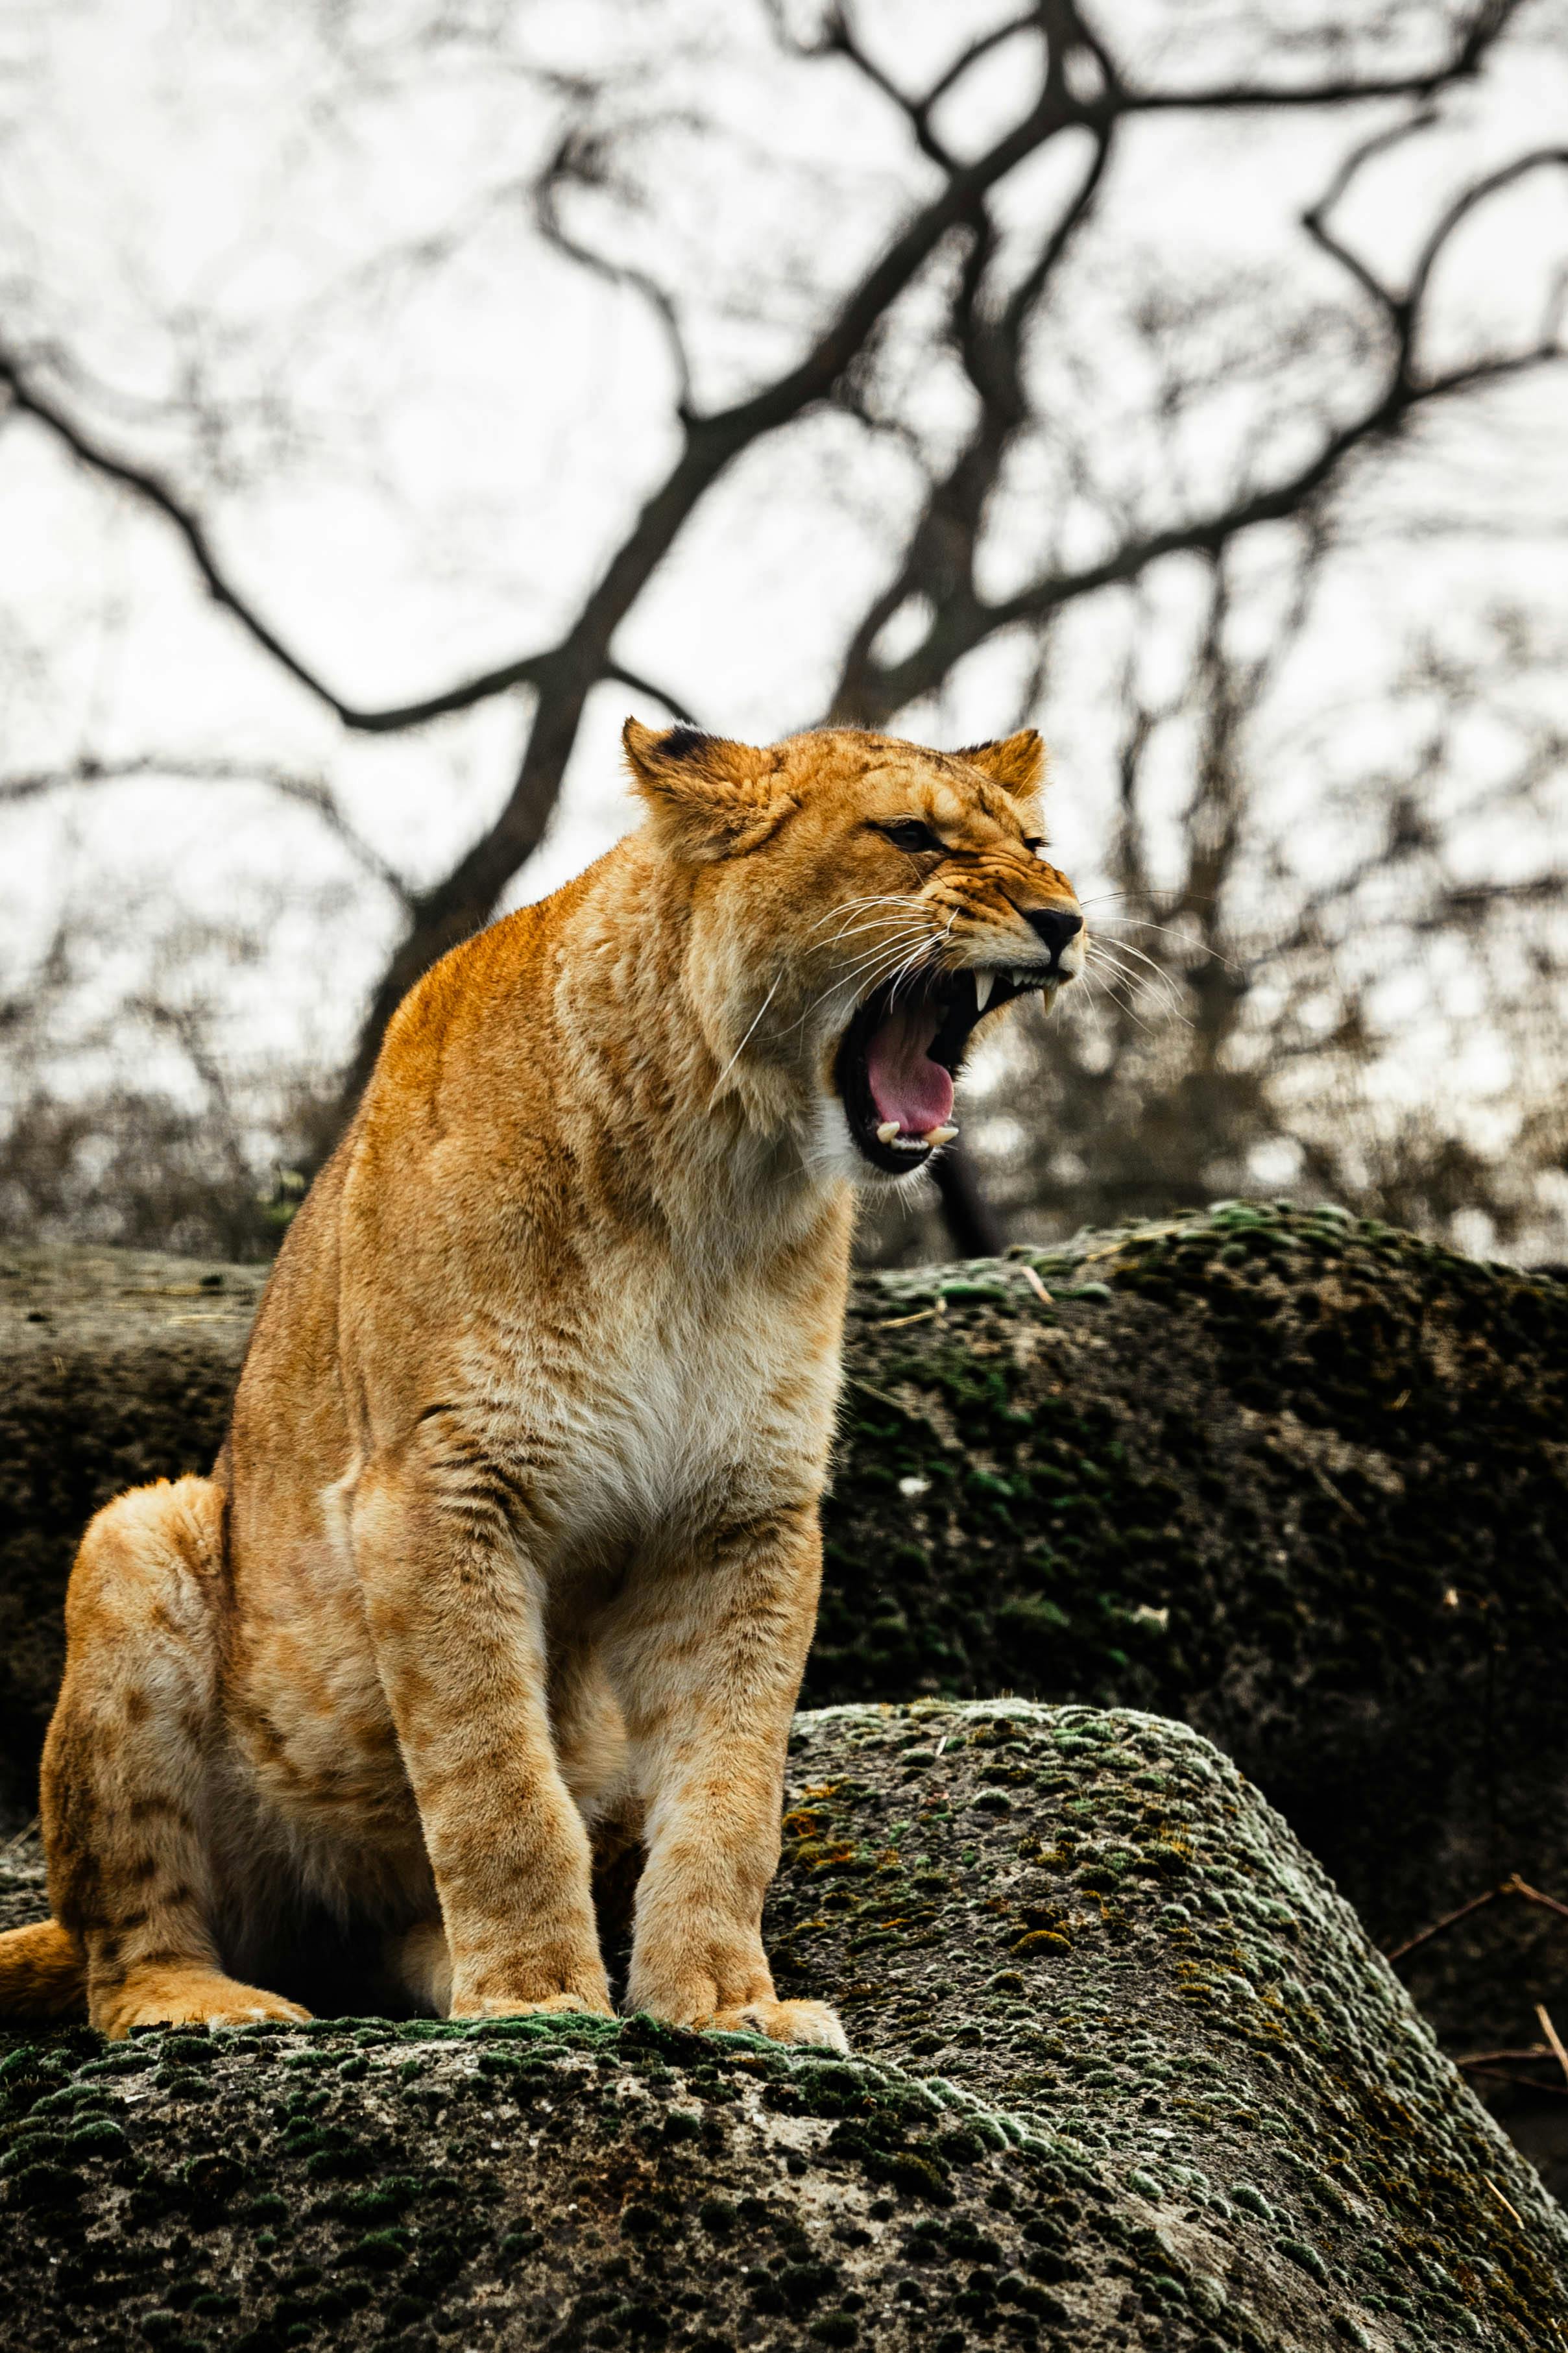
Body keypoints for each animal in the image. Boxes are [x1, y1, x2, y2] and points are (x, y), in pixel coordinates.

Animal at [0, 721, 1083, 2043]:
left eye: (1038, 844)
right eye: (913, 836)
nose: (1066, 921)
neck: (717, 1183)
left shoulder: (742, 1513)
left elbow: (731, 1793)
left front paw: (722, 2001)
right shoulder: (438, 1486)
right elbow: (497, 1778)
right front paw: (533, 1996)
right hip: (138, 1538)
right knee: (117, 1943)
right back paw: (205, 2000)